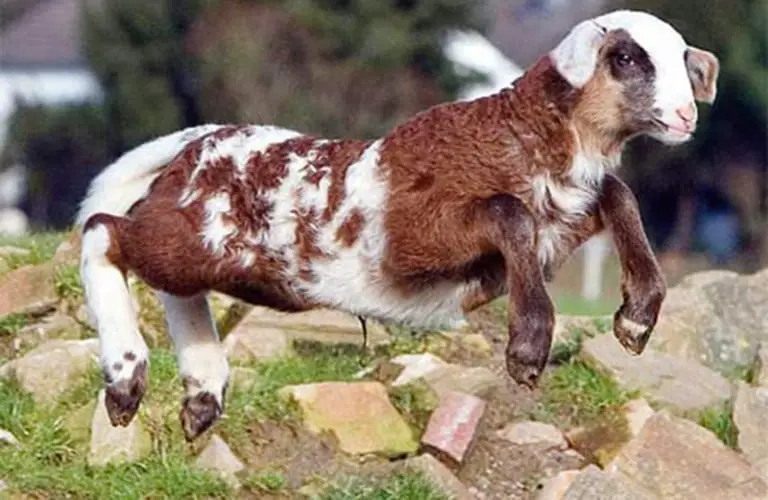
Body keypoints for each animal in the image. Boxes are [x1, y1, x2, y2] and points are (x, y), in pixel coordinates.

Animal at [76, 10, 719, 442]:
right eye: (627, 58)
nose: (687, 115)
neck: (521, 138)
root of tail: (194, 143)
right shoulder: (415, 238)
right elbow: (508, 210)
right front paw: (528, 351)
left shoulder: (562, 224)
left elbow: (618, 194)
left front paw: (635, 321)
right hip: (199, 238)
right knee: (104, 231)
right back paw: (126, 382)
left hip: (222, 258)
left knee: (168, 284)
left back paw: (202, 394)